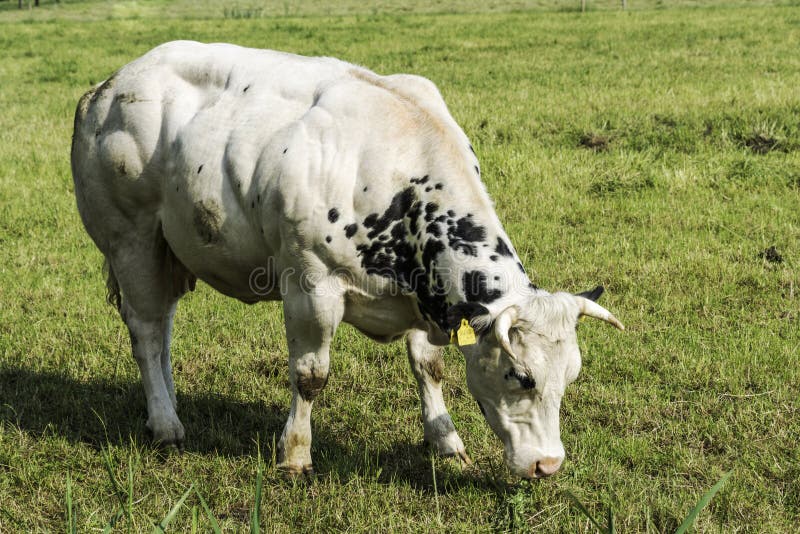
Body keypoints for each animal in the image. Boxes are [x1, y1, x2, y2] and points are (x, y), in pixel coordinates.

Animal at [71, 41, 623, 479]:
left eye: (570, 377)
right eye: (520, 376)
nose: (548, 465)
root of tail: (109, 84)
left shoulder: (426, 294)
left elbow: (429, 367)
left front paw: (446, 441)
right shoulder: (309, 285)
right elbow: (310, 376)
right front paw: (295, 455)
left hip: (168, 251)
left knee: (161, 327)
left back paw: (164, 407)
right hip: (131, 239)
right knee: (145, 331)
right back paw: (166, 423)